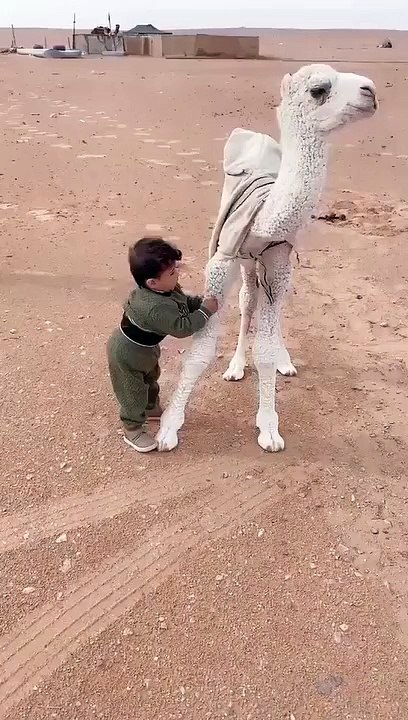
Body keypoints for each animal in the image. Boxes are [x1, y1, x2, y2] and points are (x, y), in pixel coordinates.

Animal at [157, 64, 378, 453]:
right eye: (319, 89)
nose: (371, 91)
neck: (263, 215)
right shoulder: (223, 258)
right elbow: (201, 350)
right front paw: (168, 428)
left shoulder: (278, 259)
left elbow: (267, 345)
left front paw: (269, 428)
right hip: (245, 262)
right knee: (247, 300)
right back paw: (235, 366)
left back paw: (284, 362)